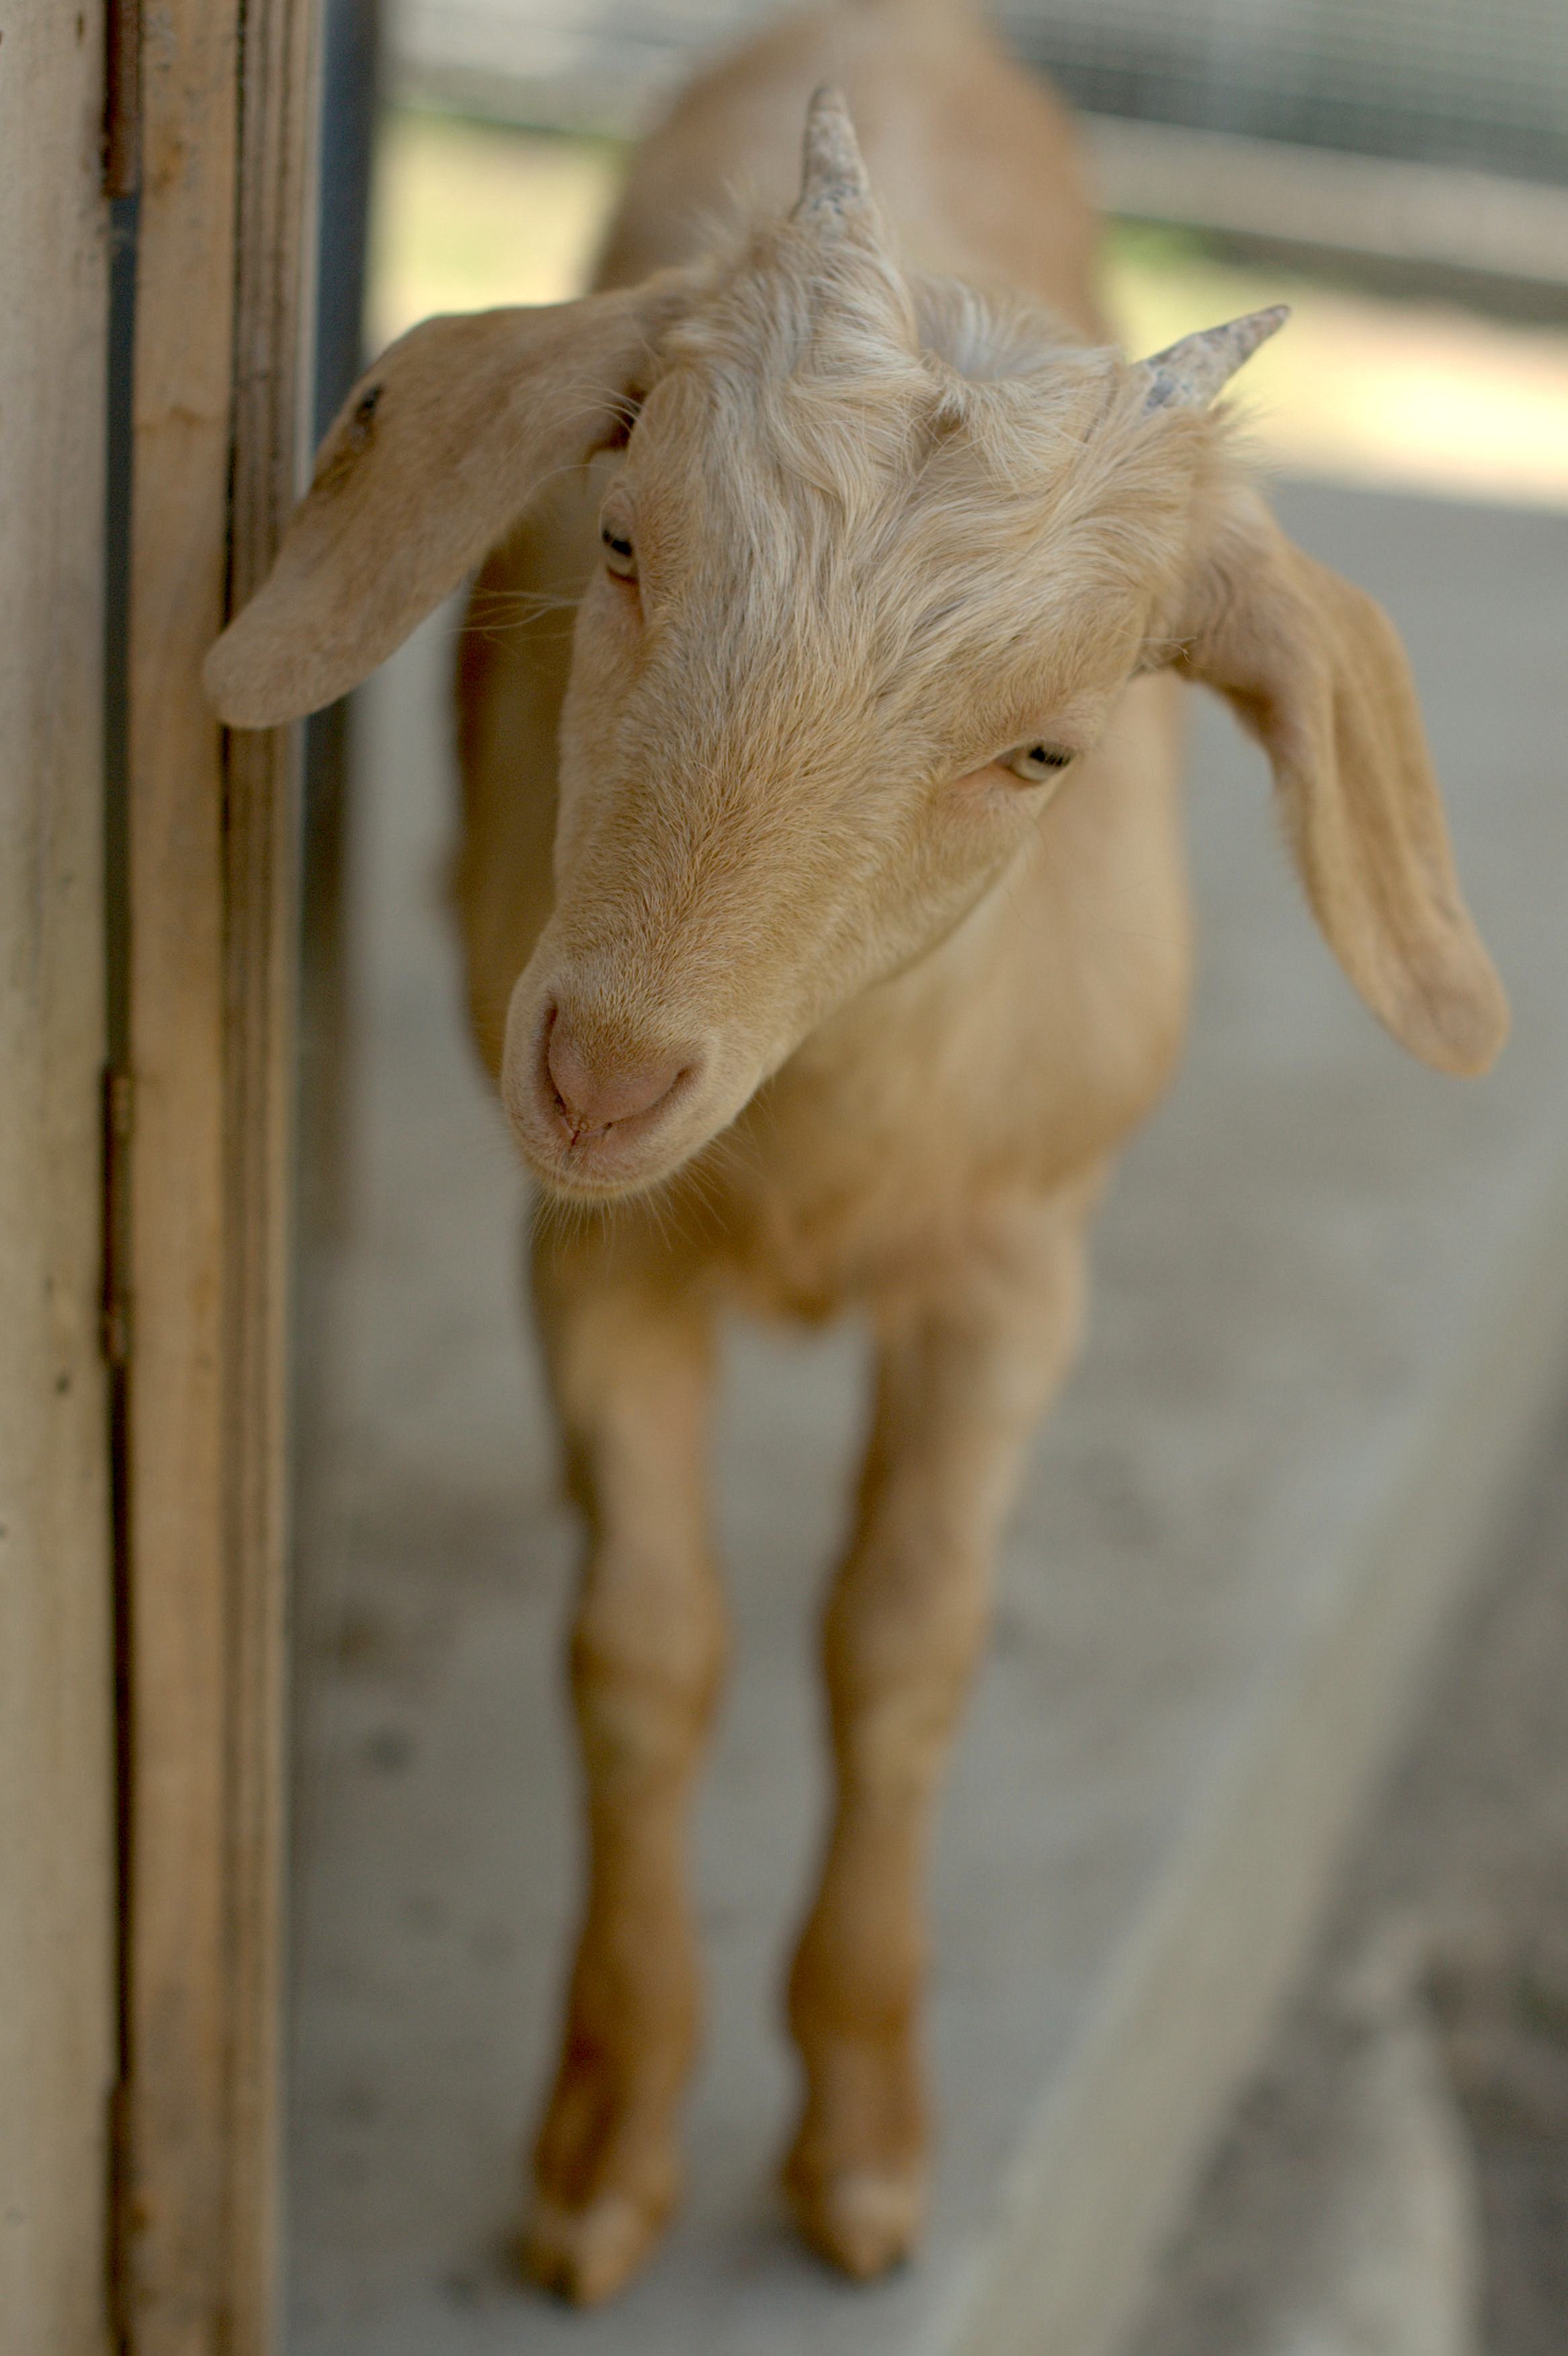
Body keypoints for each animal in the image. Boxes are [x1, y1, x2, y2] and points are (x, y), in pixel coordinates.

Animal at [207, 0, 1507, 2307]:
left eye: (1045, 747)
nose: (608, 1068)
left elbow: (902, 1644)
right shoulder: (590, 1260)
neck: (809, 1155)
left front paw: (867, 2151)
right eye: (620, 538)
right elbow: (643, 1648)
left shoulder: (1020, 1267)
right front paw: (602, 2152)